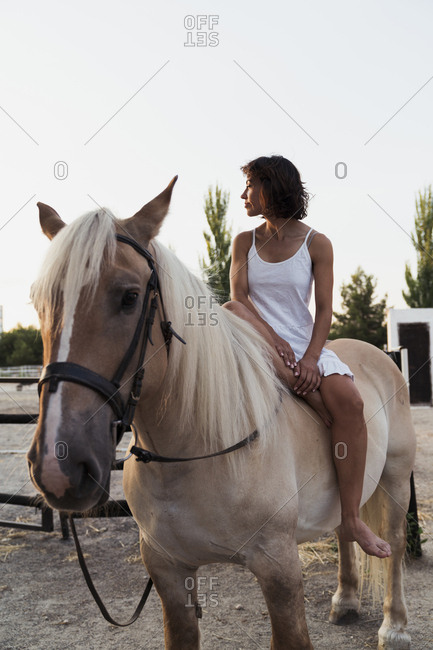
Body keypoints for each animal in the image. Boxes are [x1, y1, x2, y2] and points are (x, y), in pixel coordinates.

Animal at [27, 178, 416, 649]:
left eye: (130, 297)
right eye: (40, 303)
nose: (58, 466)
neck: (194, 451)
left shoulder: (280, 570)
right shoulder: (167, 571)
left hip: (395, 478)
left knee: (393, 542)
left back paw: (394, 626)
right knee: (345, 525)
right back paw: (345, 602)